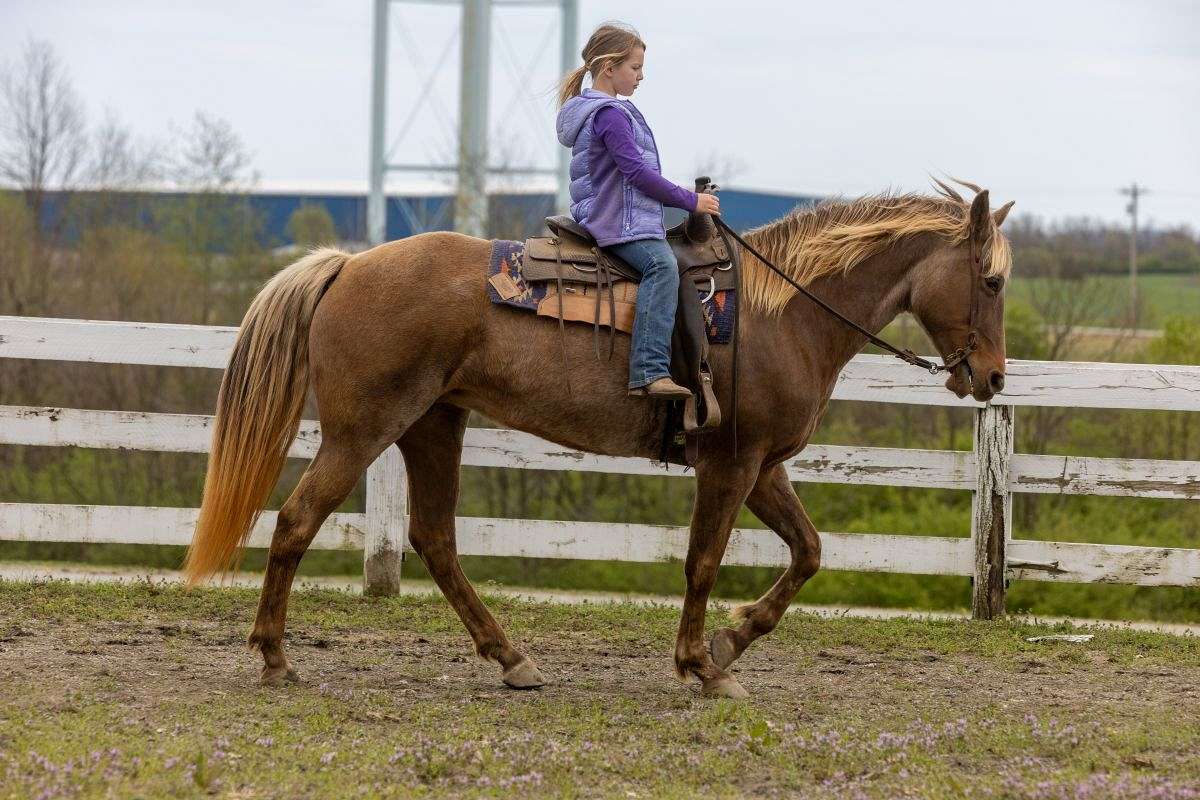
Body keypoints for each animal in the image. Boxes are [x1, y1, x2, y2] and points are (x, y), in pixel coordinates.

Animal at [183, 179, 1013, 699]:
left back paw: (512, 658)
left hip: (433, 423)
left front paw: (731, 643)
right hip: (364, 430)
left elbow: (808, 552)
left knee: (435, 539)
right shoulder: (732, 463)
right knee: (298, 521)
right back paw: (275, 658)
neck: (782, 311)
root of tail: (350, 263)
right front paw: (701, 665)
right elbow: (703, 561)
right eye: (993, 280)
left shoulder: (763, 466)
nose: (994, 377)